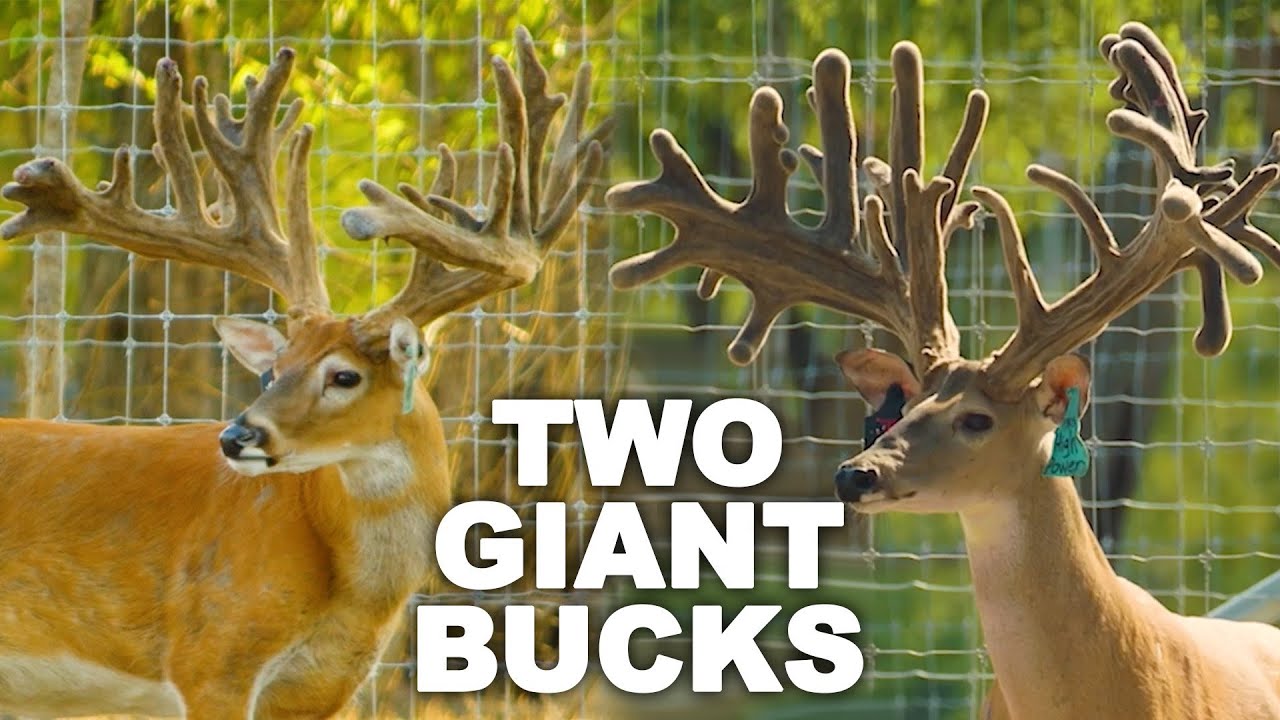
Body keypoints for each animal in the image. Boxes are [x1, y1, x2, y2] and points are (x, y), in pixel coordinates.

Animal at [0, 26, 608, 719]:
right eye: (273, 372)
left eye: (344, 376)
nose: (236, 436)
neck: (354, 595)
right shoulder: (209, 659)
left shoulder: (328, 686)